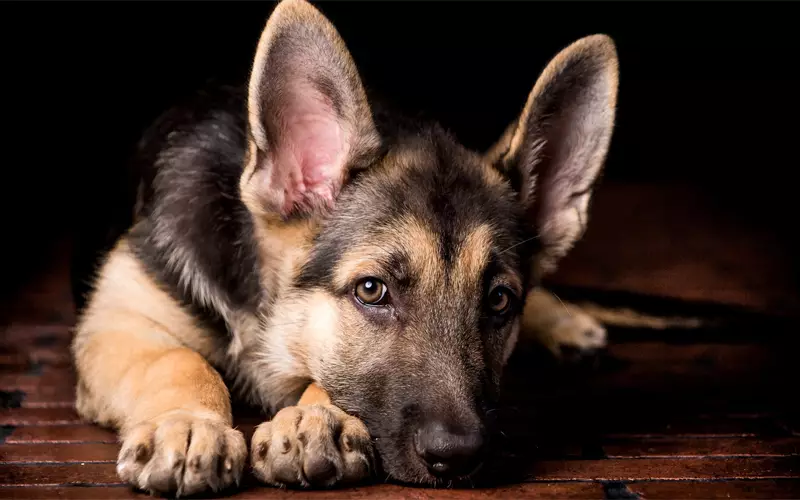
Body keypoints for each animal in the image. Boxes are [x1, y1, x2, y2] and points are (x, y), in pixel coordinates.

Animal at [69, 0, 620, 494]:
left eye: (500, 300)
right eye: (371, 290)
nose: (458, 456)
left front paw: (314, 416)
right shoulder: (118, 323)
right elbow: (180, 361)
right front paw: (188, 424)